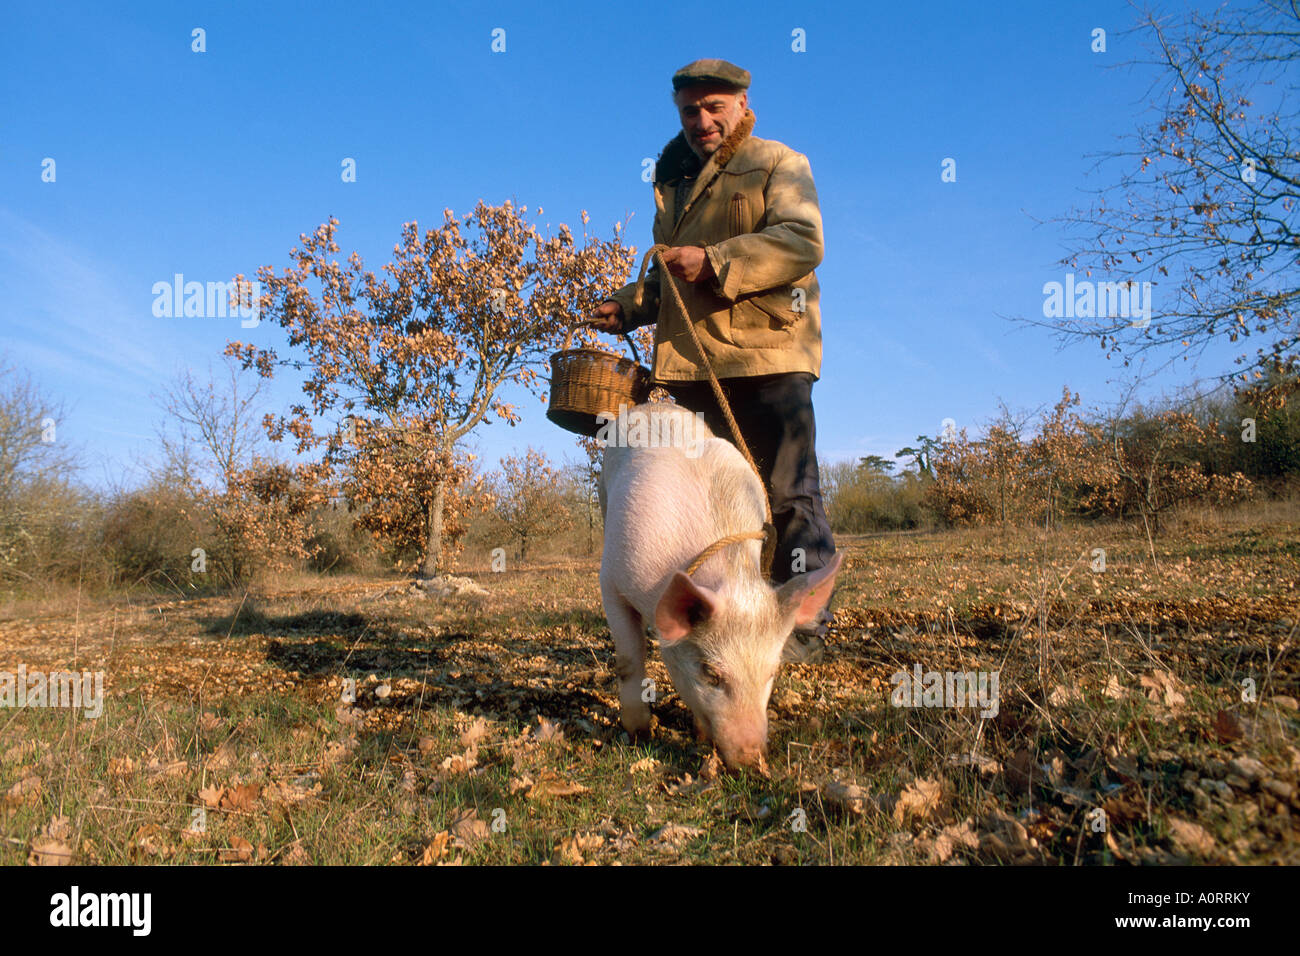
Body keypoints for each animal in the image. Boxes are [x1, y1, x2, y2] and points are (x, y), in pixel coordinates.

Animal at [597, 401, 842, 772]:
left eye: (772, 672)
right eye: (710, 673)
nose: (751, 759)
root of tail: (653, 403)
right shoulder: (611, 579)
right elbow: (628, 657)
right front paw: (639, 733)